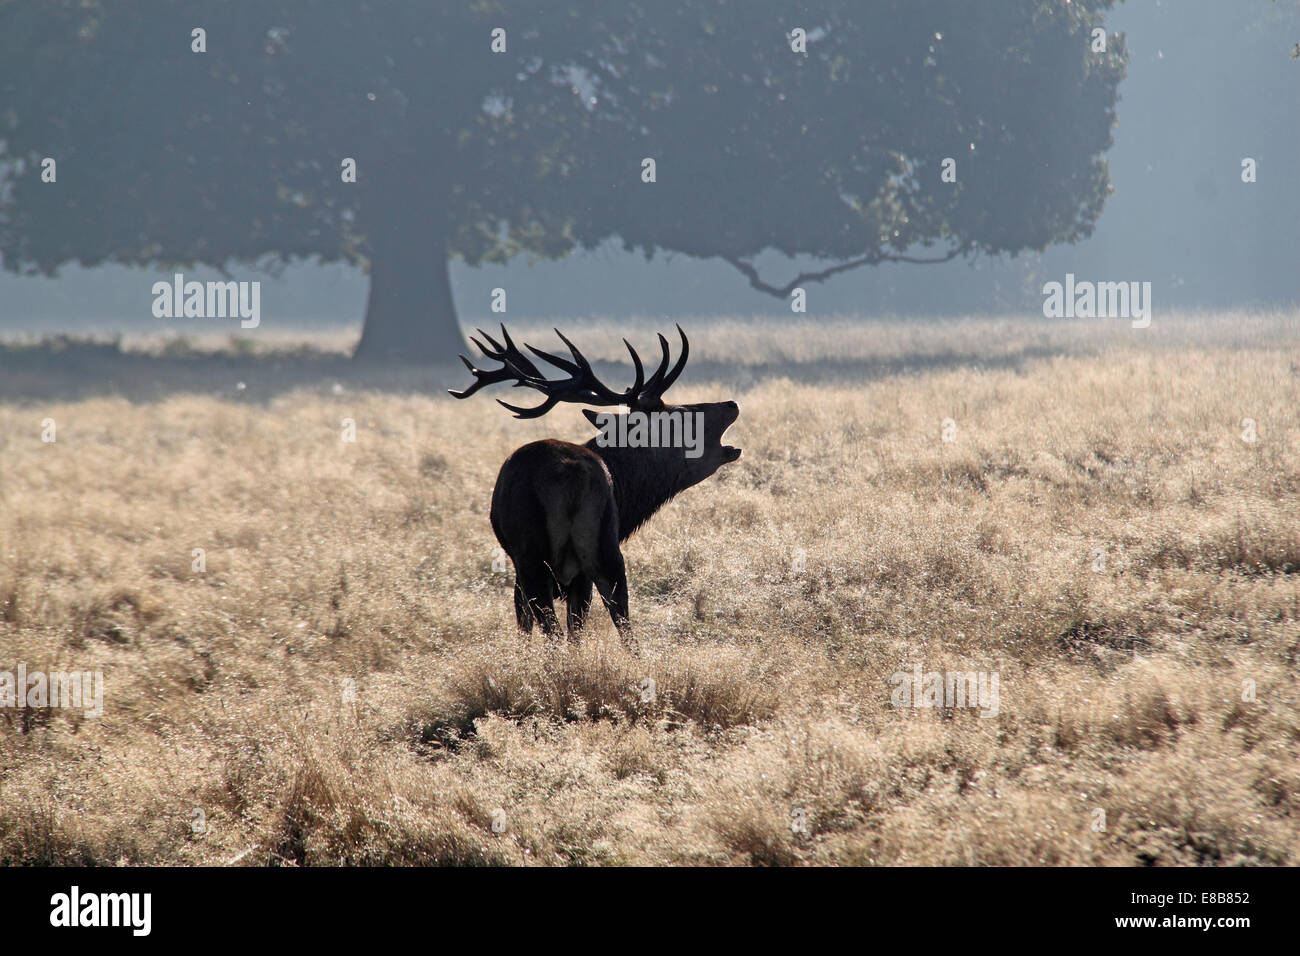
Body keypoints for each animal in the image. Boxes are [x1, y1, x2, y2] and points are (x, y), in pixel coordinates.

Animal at [449, 325, 740, 649]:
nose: (731, 403)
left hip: (545, 556)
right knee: (609, 622)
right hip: (584, 551)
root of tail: (568, 473)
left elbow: (530, 628)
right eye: (679, 416)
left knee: (567, 628)